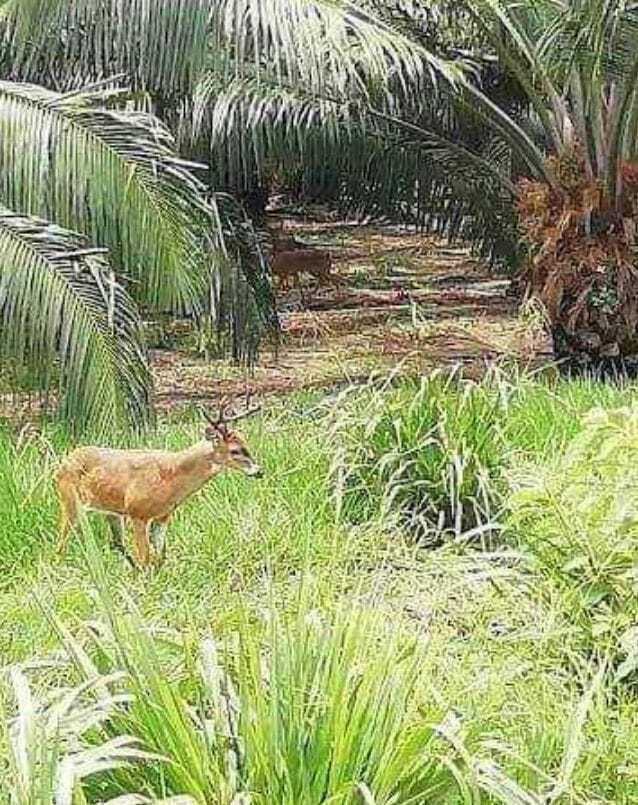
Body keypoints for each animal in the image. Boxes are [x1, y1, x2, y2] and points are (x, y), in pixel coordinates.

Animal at [55, 400, 263, 569]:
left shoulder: (163, 516)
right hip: (70, 500)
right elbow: (146, 558)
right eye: (235, 450)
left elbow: (160, 557)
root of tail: (62, 464)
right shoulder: (137, 513)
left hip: (110, 511)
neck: (171, 479)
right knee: (61, 543)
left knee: (116, 543)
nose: (259, 471)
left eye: (247, 444)